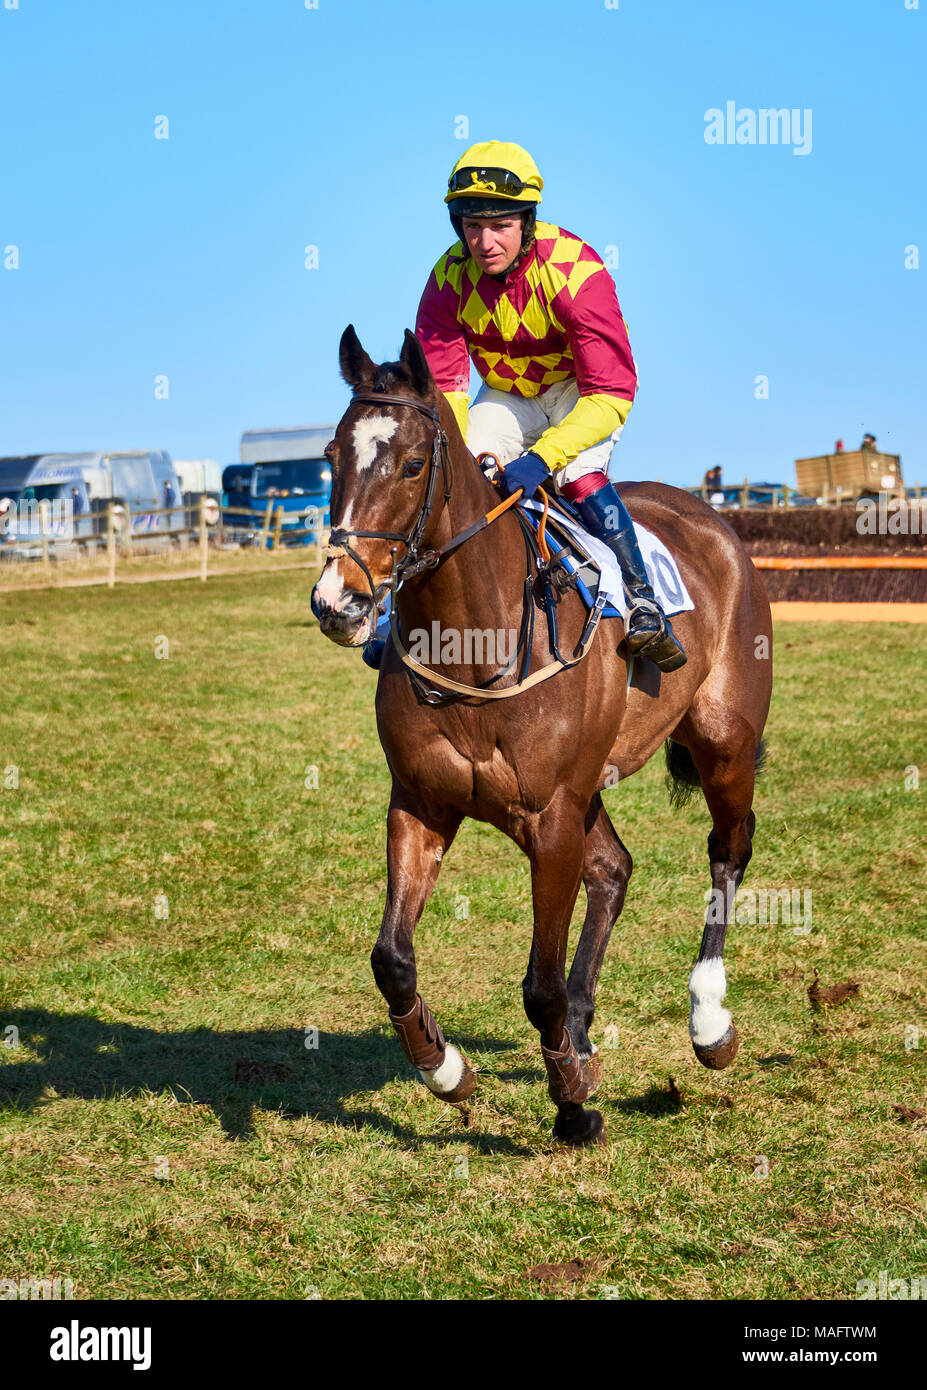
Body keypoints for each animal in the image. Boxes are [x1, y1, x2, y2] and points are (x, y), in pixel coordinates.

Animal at [310, 325, 772, 1147]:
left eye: (412, 463)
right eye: (333, 456)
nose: (340, 603)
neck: (475, 643)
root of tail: (711, 518)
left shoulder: (550, 816)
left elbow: (540, 985)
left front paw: (572, 1103)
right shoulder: (421, 802)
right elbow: (391, 957)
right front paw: (445, 1068)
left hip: (723, 741)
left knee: (729, 848)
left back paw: (709, 1019)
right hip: (597, 779)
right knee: (615, 869)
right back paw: (584, 1037)